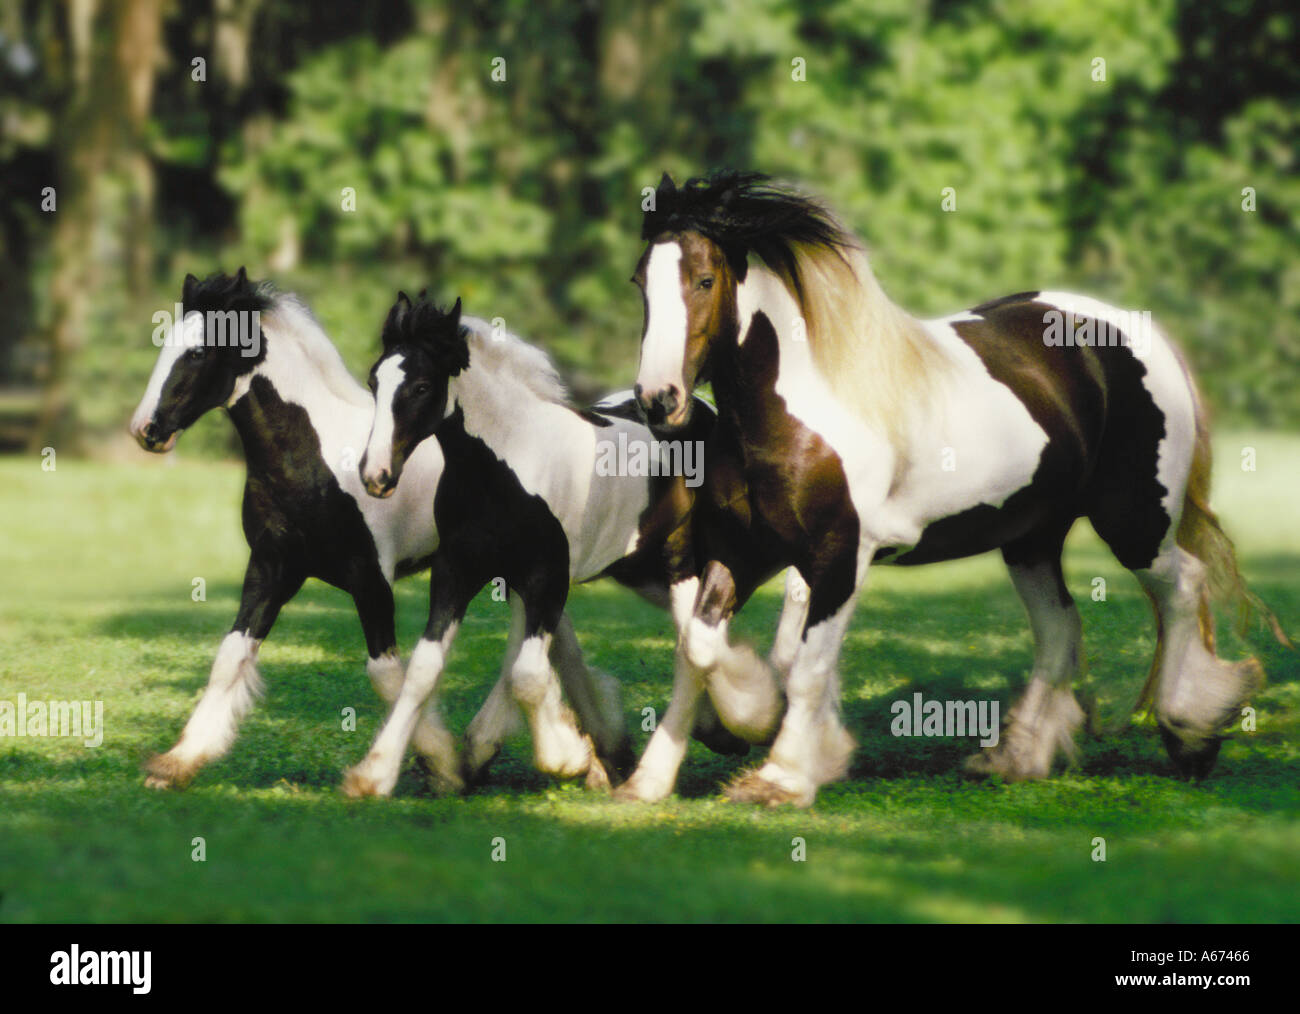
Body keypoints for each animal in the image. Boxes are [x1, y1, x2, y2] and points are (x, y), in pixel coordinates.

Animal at [128, 269, 626, 792]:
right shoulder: (272, 567)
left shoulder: (370, 578)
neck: (317, 461)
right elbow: (230, 656)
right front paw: (176, 762)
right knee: (549, 638)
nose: (146, 429)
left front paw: (435, 762)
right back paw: (585, 748)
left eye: (198, 352)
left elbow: (387, 672)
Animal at [343, 292, 801, 797]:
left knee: (694, 643)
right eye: (374, 380)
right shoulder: (459, 571)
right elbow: (426, 669)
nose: (376, 475)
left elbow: (527, 674)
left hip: (682, 561)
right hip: (635, 571)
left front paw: (565, 757)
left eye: (423, 386)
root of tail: (704, 411)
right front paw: (376, 774)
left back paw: (736, 725)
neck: (508, 464)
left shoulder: (547, 575)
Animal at [622, 170, 1287, 808]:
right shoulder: (744, 551)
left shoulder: (839, 556)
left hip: (1135, 521)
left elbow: (805, 666)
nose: (659, 401)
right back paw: (1016, 758)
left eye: (705, 280)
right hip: (1032, 538)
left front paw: (781, 774)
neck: (794, 415)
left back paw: (1191, 732)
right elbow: (698, 648)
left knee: (1183, 587)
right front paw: (662, 774)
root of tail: (1133, 332)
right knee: (1061, 626)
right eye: (638, 282)